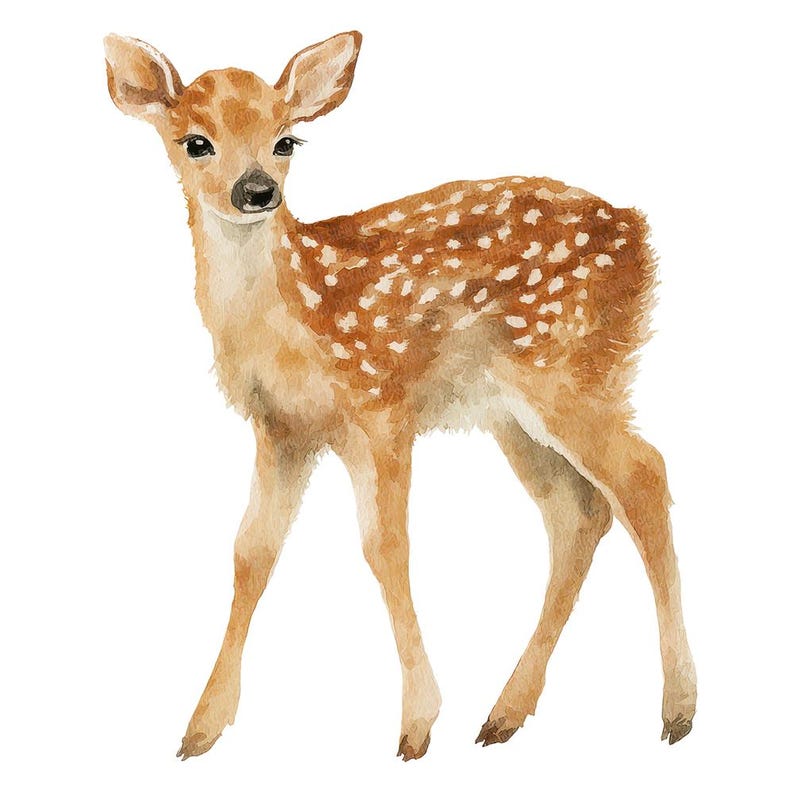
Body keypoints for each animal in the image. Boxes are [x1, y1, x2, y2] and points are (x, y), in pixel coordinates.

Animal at [103, 30, 697, 761]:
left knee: (643, 476)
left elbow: (386, 547)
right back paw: (504, 714)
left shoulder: (381, 406)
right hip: (512, 413)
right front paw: (202, 727)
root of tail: (639, 231)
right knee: (578, 513)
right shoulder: (282, 429)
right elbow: (251, 551)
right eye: (195, 141)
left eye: (286, 139)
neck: (294, 319)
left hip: (572, 370)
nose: (257, 190)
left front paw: (417, 724)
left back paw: (677, 710)